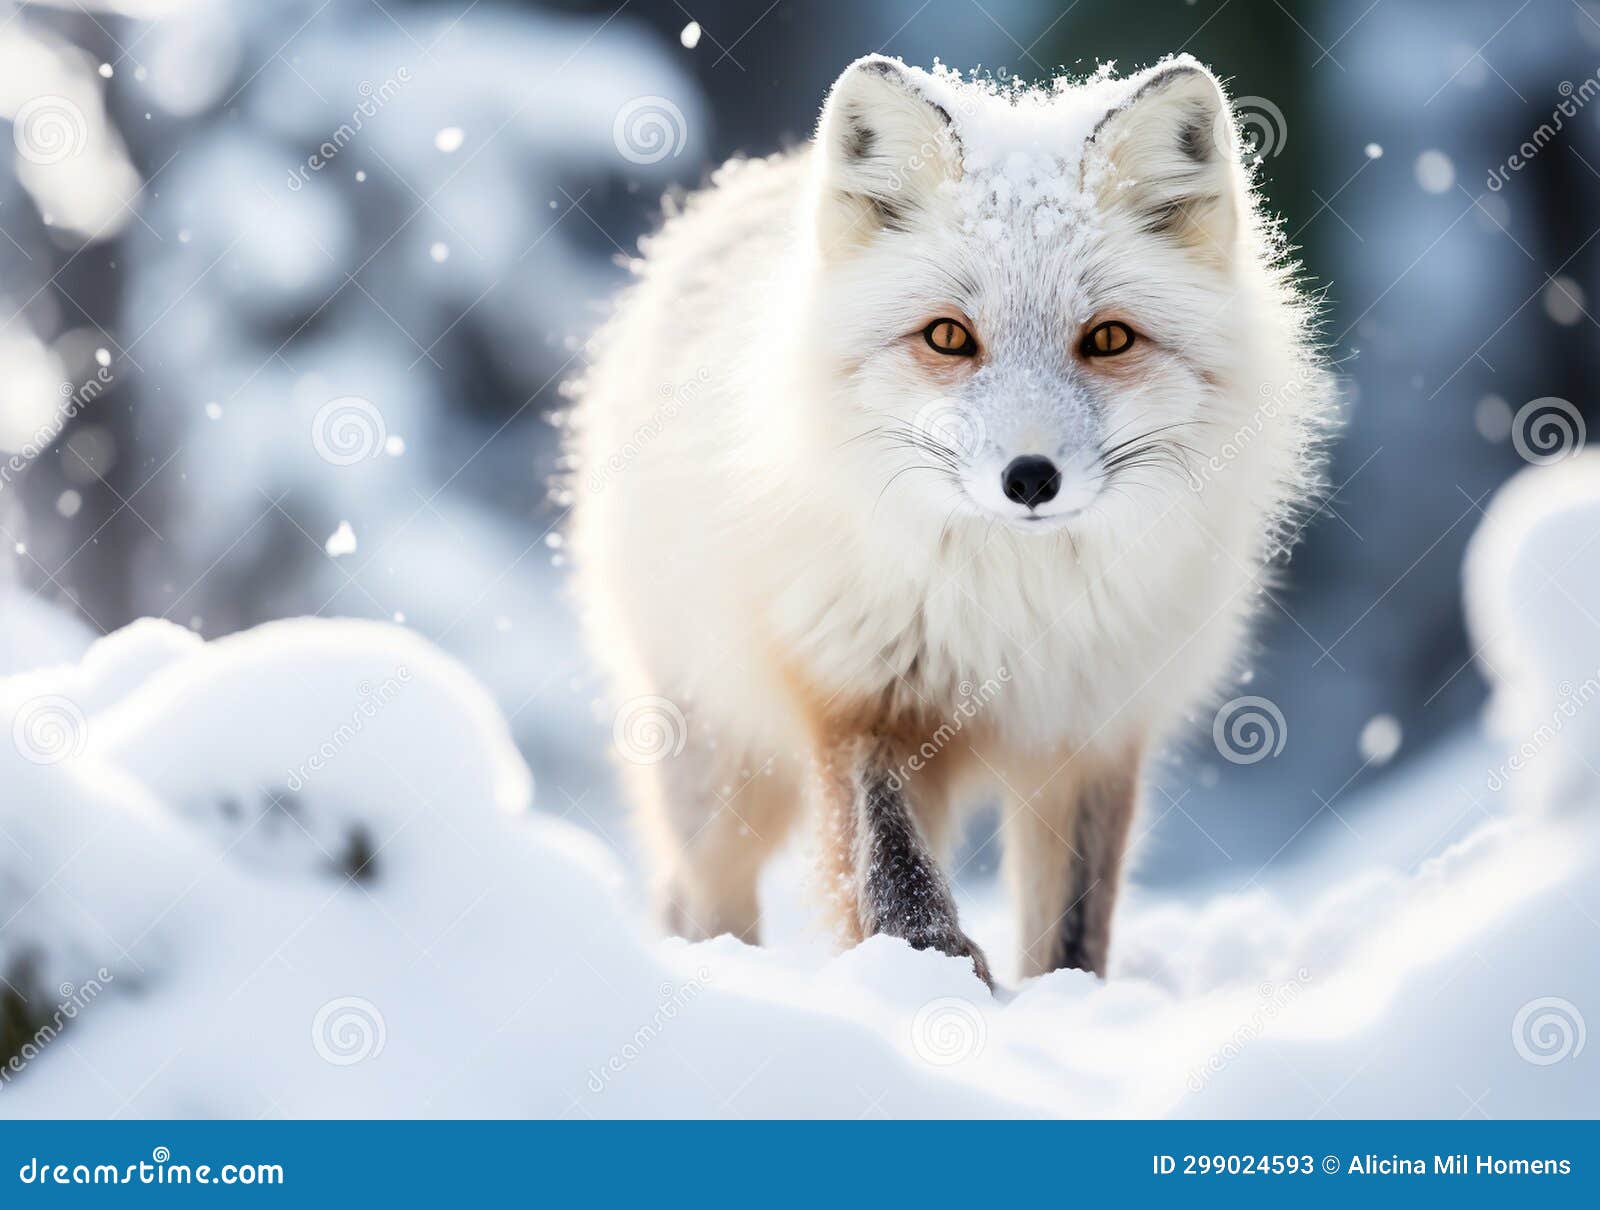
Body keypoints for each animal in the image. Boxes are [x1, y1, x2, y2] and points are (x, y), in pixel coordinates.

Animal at [567, 54, 1332, 987]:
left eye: (1109, 339)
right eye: (947, 336)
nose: (1030, 478)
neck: (1010, 611)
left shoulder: (1088, 727)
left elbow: (1072, 932)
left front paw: (1060, 1000)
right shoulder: (856, 690)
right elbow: (889, 865)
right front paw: (932, 971)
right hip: (717, 761)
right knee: (702, 897)